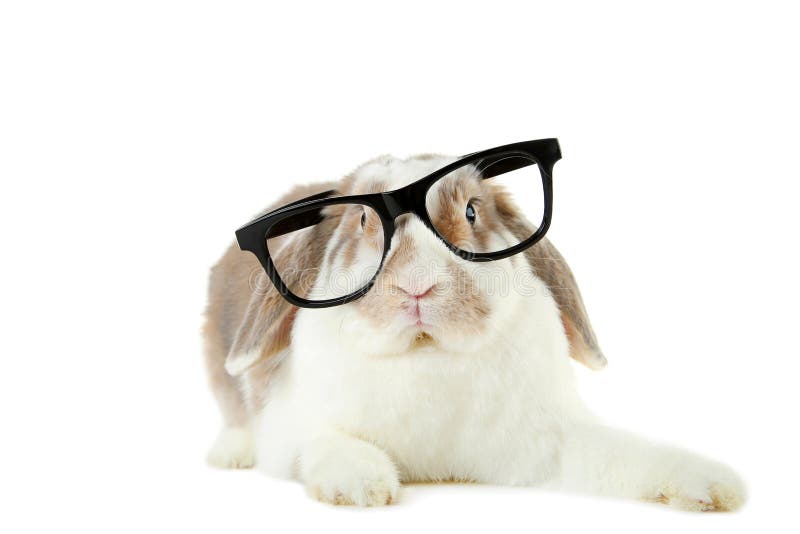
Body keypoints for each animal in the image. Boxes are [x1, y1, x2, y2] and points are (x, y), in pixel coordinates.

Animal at [202, 153, 746, 511]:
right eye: (361, 221)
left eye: (471, 212)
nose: (418, 286)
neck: (428, 357)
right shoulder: (289, 433)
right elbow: (318, 443)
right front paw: (362, 481)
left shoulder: (549, 446)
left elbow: (626, 455)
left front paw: (715, 484)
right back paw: (231, 452)